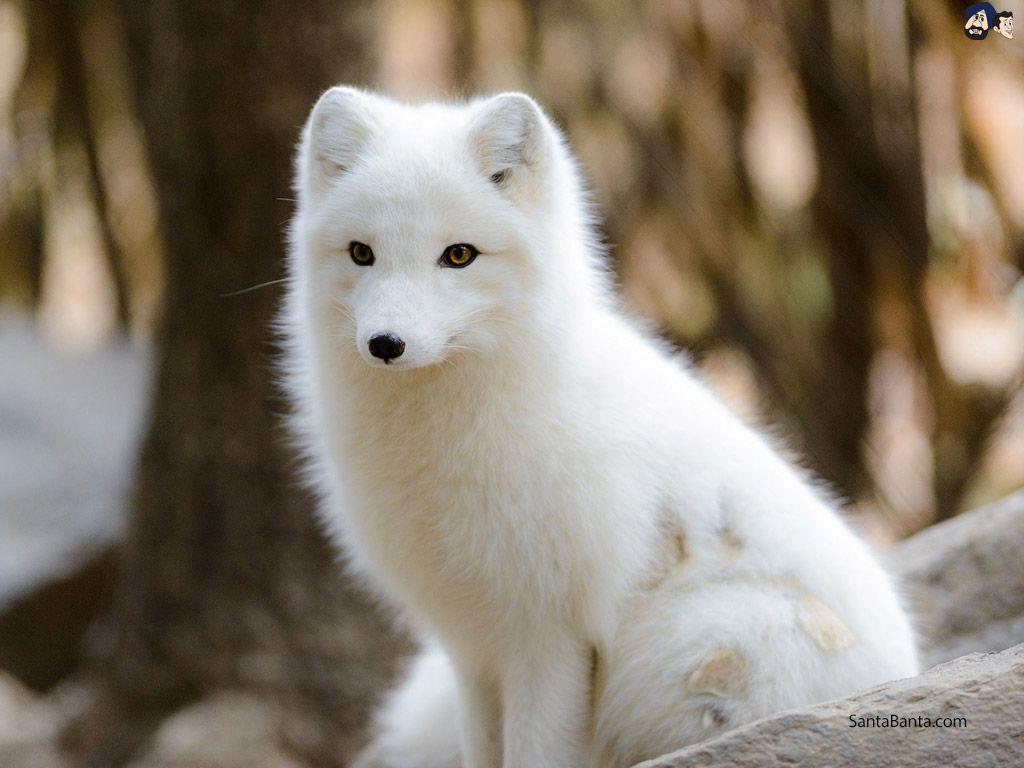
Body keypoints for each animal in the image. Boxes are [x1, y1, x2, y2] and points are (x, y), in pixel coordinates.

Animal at [281, 87, 919, 768]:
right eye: (361, 252)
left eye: (458, 255)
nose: (385, 344)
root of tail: (906, 667)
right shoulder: (470, 642)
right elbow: (483, 748)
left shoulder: (549, 633)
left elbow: (534, 752)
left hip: (691, 640)